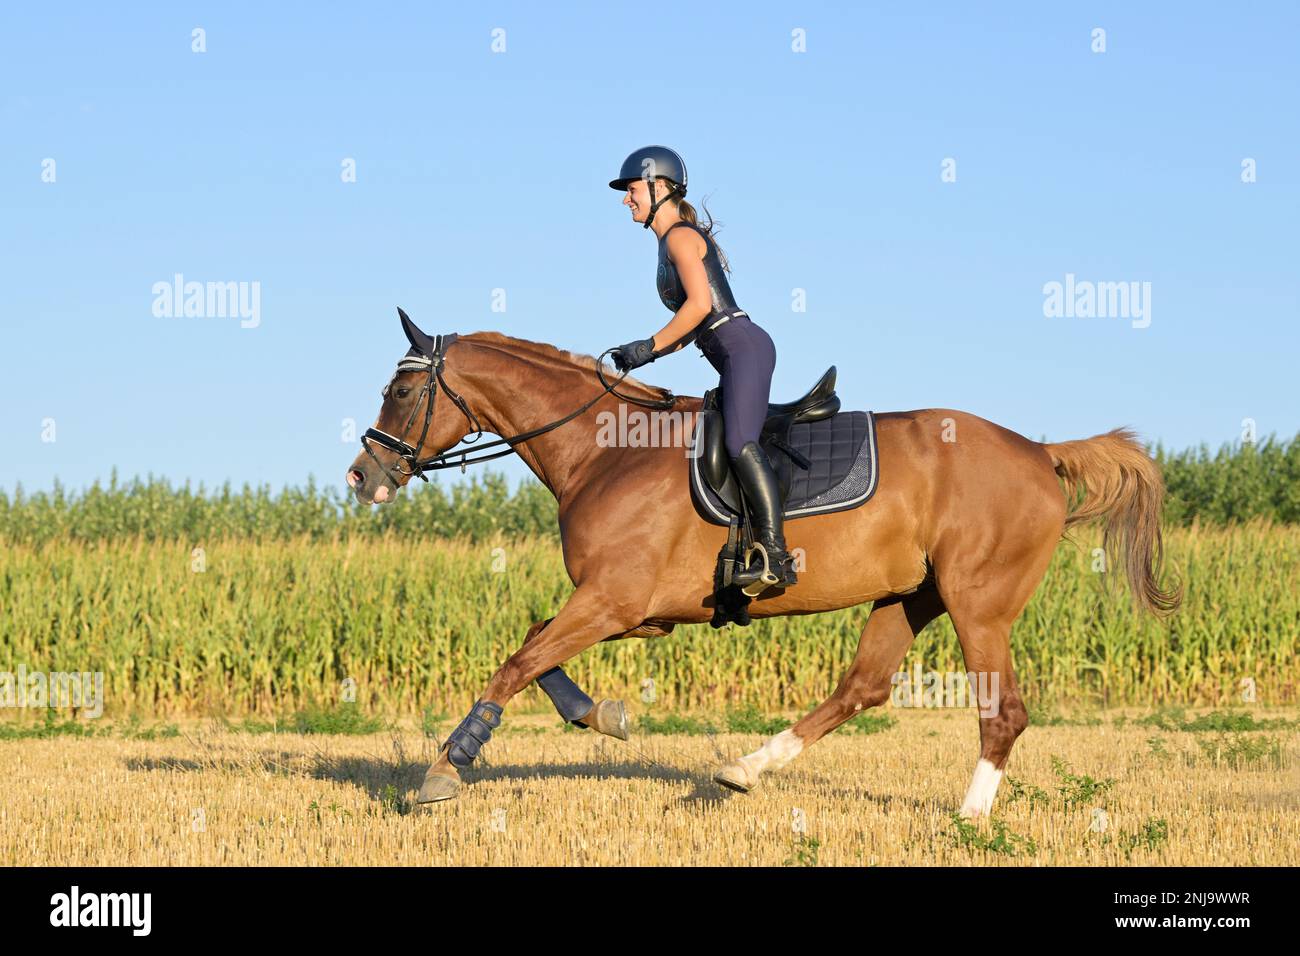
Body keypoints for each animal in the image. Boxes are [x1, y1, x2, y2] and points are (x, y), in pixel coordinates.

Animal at [346, 310, 1180, 815]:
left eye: (400, 391)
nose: (362, 476)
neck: (604, 450)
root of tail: (1040, 453)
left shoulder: (614, 600)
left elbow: (517, 662)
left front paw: (444, 770)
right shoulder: (634, 611)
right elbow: (533, 645)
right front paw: (602, 716)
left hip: (979, 601)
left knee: (1001, 711)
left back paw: (970, 818)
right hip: (912, 594)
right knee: (862, 687)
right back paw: (744, 769)